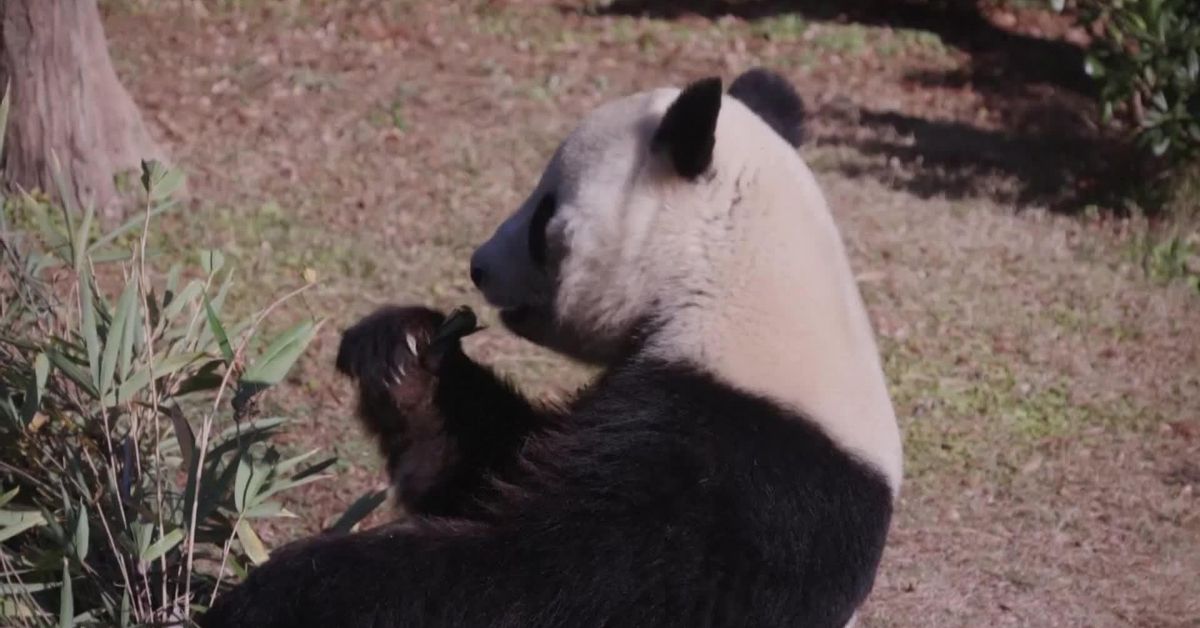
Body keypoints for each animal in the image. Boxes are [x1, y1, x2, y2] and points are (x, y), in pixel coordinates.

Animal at [202, 68, 901, 628]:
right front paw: (406, 353)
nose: (479, 265)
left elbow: (559, 580)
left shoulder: (740, 467)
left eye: (544, 214)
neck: (733, 277)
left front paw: (281, 592)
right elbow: (488, 466)